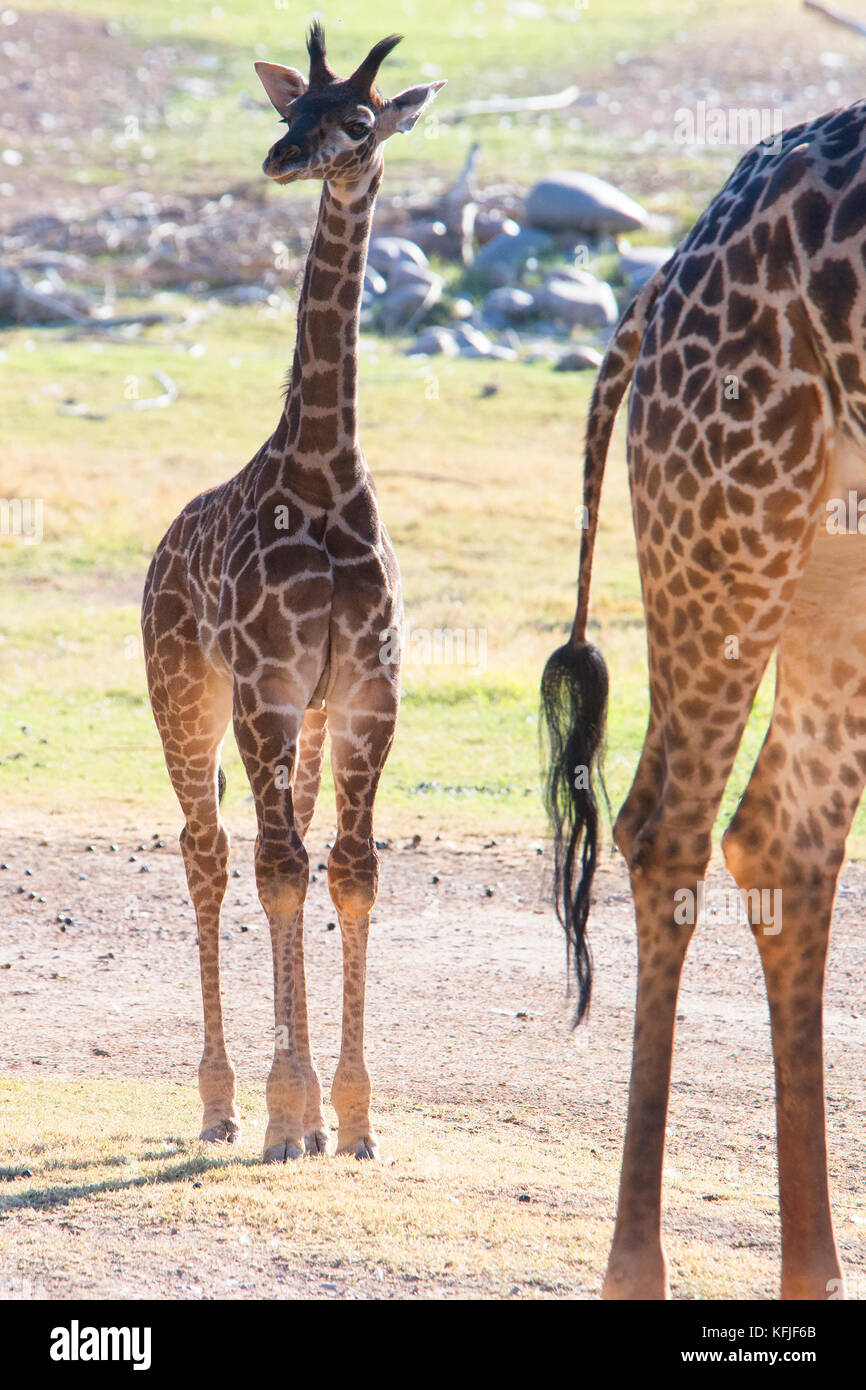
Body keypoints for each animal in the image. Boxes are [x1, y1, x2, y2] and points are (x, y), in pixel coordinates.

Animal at [141, 25, 445, 1163]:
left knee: (298, 846)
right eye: (290, 108)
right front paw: (282, 1112)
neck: (320, 473)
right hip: (184, 694)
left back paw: (305, 1114)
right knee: (210, 853)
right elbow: (277, 870)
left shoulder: (364, 693)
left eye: (357, 120)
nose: (282, 158)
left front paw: (350, 1120)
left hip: (303, 722)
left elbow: (350, 871)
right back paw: (223, 1101)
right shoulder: (264, 688)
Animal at [542, 100, 866, 1298]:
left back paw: (813, 1269)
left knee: (782, 833)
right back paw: (637, 1262)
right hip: (731, 522)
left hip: (826, 554)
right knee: (666, 826)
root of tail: (658, 285)